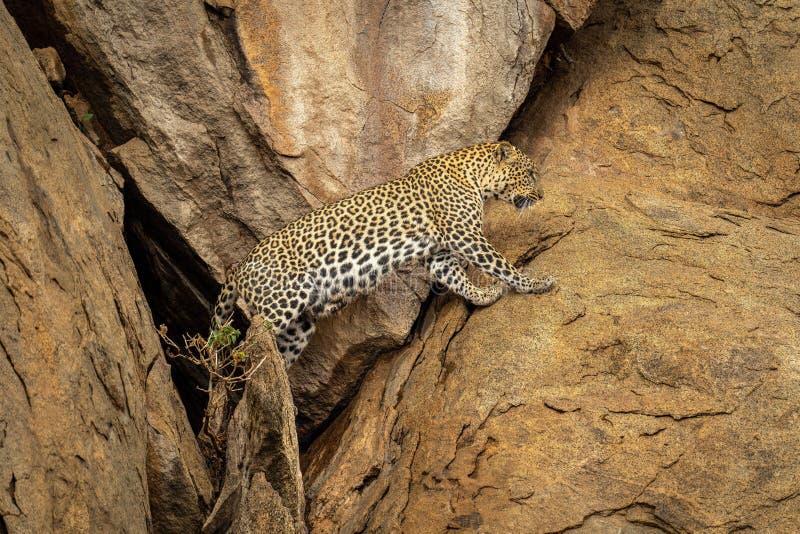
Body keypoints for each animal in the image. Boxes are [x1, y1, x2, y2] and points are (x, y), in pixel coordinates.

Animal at [211, 141, 555, 366]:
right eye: (529, 173)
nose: (541, 196)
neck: (475, 177)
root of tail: (241, 264)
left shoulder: (440, 252)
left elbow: (455, 277)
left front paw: (483, 296)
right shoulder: (465, 235)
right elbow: (500, 264)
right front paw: (535, 284)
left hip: (300, 324)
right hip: (281, 303)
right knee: (246, 346)